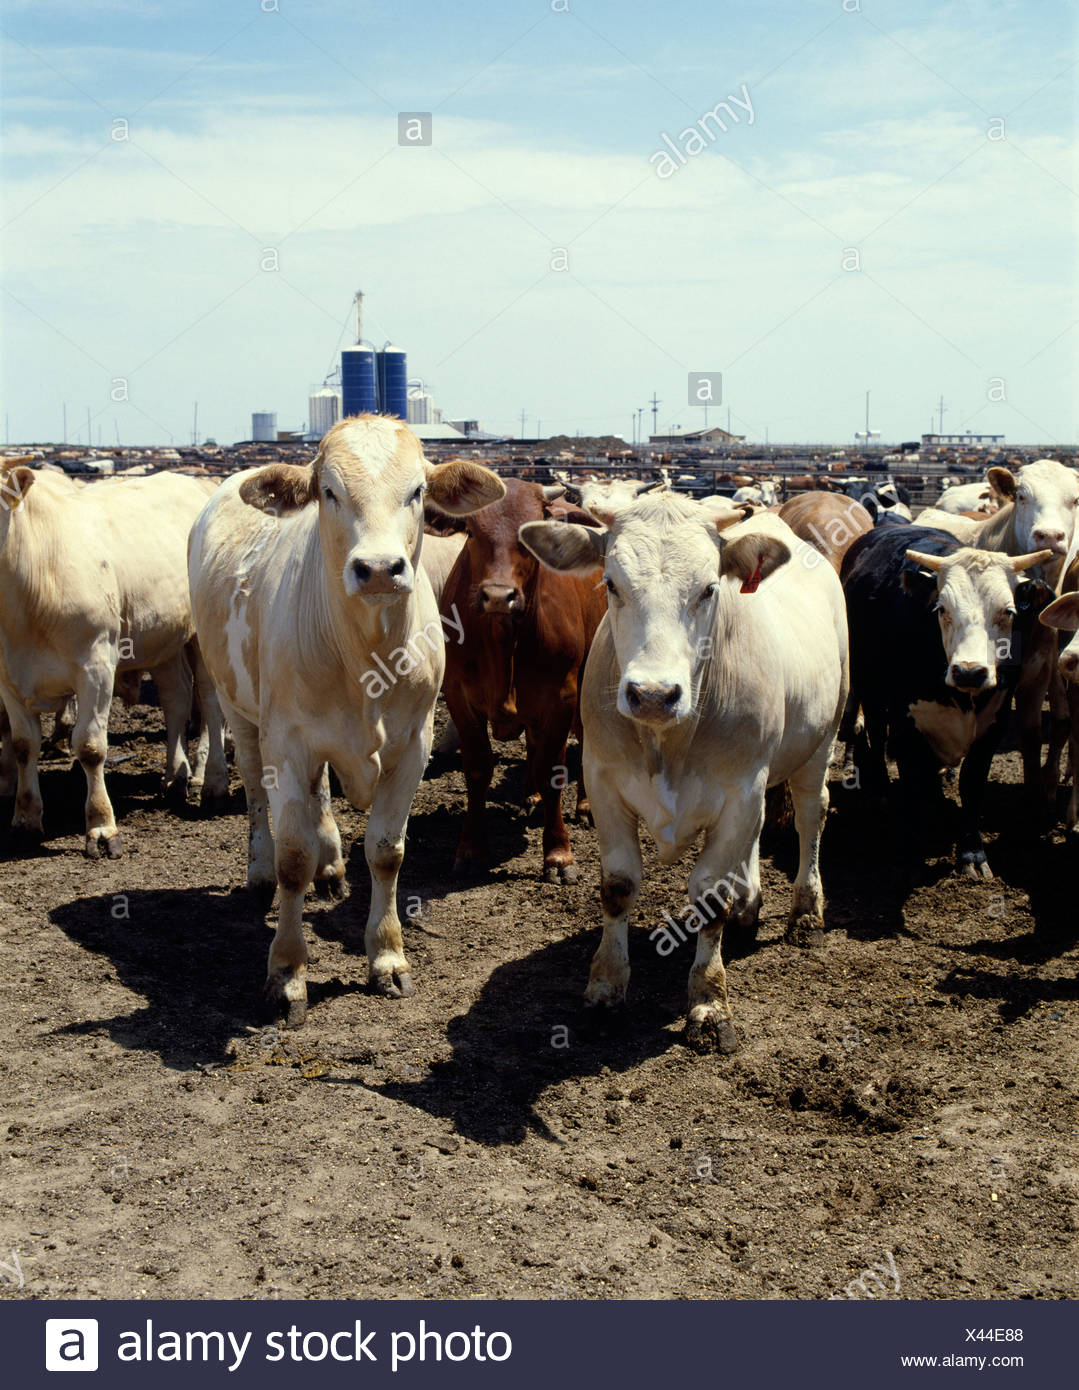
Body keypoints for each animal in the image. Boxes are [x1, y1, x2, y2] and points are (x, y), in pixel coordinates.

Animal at [0, 461, 228, 856]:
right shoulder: (8, 678)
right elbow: (23, 745)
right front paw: (25, 819)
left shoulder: (95, 665)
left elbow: (90, 746)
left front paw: (101, 826)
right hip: (161, 637)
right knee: (177, 698)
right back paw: (175, 777)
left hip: (200, 637)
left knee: (210, 705)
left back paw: (212, 783)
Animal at [189, 415, 504, 1024]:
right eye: (329, 492)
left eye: (418, 491)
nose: (378, 569)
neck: (366, 653)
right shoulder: (288, 744)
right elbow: (293, 857)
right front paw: (287, 972)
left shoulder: (413, 743)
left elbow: (386, 850)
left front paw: (387, 956)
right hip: (240, 708)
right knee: (258, 796)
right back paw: (259, 871)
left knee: (320, 801)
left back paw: (332, 866)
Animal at [440, 477, 606, 884]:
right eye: (471, 531)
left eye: (531, 534)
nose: (499, 596)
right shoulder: (459, 697)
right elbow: (478, 769)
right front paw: (471, 849)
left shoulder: (561, 698)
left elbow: (552, 772)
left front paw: (559, 855)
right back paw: (530, 796)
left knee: (582, 739)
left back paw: (584, 805)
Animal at [519, 498, 849, 1054]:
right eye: (611, 584)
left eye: (709, 588)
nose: (653, 694)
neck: (667, 743)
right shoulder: (604, 783)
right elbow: (619, 886)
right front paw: (605, 989)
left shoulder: (741, 790)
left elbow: (711, 897)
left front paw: (709, 1002)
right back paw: (750, 905)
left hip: (821, 738)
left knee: (811, 815)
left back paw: (806, 912)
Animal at [842, 526, 1054, 877]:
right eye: (942, 609)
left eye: (1007, 612)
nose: (969, 671)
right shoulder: (906, 724)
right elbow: (915, 779)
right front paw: (914, 840)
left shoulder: (995, 721)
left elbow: (972, 782)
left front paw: (972, 852)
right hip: (868, 688)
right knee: (875, 731)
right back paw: (883, 792)